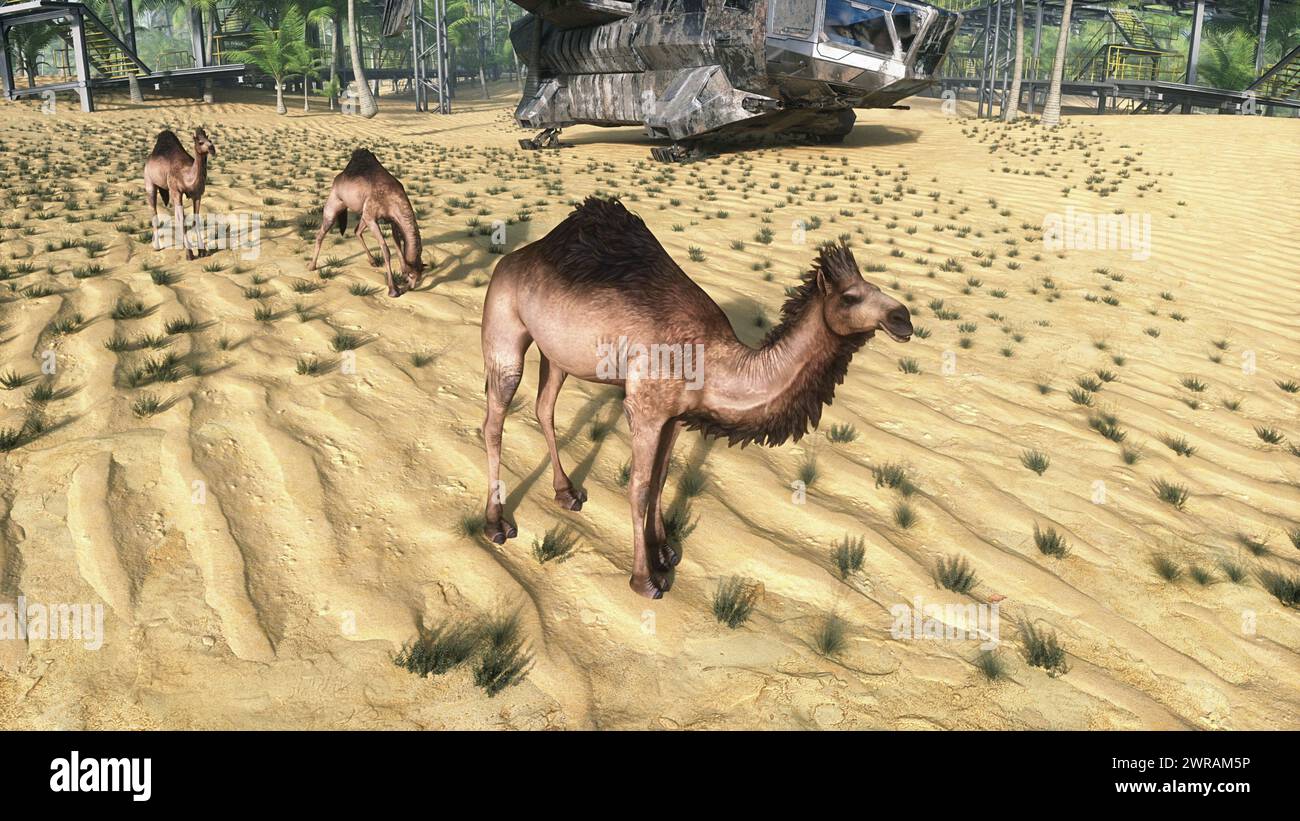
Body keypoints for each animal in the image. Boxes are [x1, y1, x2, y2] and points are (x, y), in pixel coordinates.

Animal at [144, 128, 217, 260]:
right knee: (154, 212)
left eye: (210, 140)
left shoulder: (197, 194)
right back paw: (156, 246)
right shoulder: (176, 191)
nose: (212, 149)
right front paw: (189, 253)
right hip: (149, 182)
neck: (186, 175)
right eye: (200, 142)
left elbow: (196, 220)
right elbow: (182, 220)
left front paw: (202, 251)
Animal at [309, 149, 425, 297]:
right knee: (321, 233)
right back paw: (312, 266)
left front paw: (401, 273)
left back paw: (373, 261)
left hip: (363, 214)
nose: (411, 288)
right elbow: (386, 249)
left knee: (357, 231)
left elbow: (398, 246)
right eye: (411, 276)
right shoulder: (372, 217)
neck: (392, 197)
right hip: (334, 206)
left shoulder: (393, 221)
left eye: (418, 277)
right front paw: (393, 290)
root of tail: (338, 178)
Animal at [480, 197, 914, 599]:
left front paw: (664, 551)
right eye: (850, 297)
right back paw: (496, 524)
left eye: (877, 286)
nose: (903, 318)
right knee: (494, 420)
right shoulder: (645, 408)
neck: (712, 359)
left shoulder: (675, 415)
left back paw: (567, 493)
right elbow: (639, 488)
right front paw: (645, 579)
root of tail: (512, 259)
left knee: (544, 407)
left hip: (557, 353)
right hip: (504, 327)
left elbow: (660, 478)